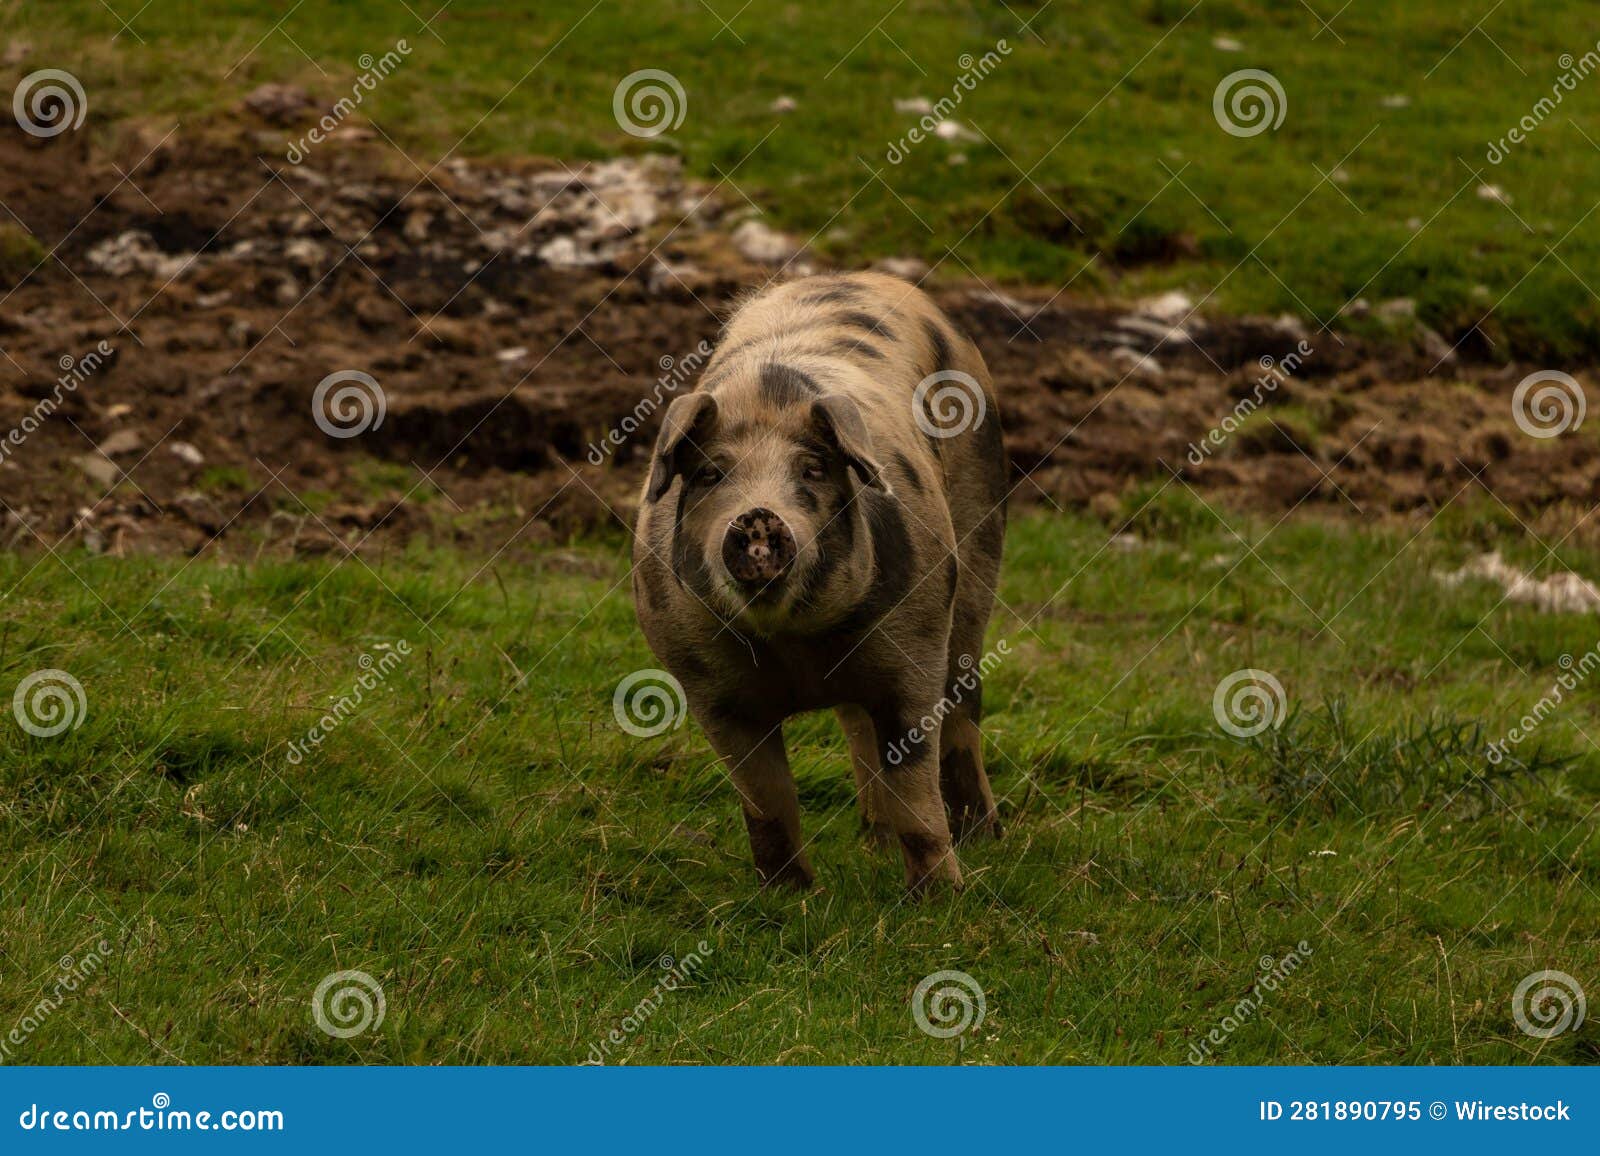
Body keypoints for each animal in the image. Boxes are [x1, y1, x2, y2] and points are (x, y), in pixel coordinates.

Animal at [631, 271, 1008, 893]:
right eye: (710, 473)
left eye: (812, 469)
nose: (758, 516)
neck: (796, 647)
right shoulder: (706, 685)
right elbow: (766, 797)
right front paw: (789, 893)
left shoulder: (915, 649)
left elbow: (916, 785)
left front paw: (943, 897)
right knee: (856, 726)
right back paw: (873, 845)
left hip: (980, 538)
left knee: (961, 710)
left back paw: (986, 838)